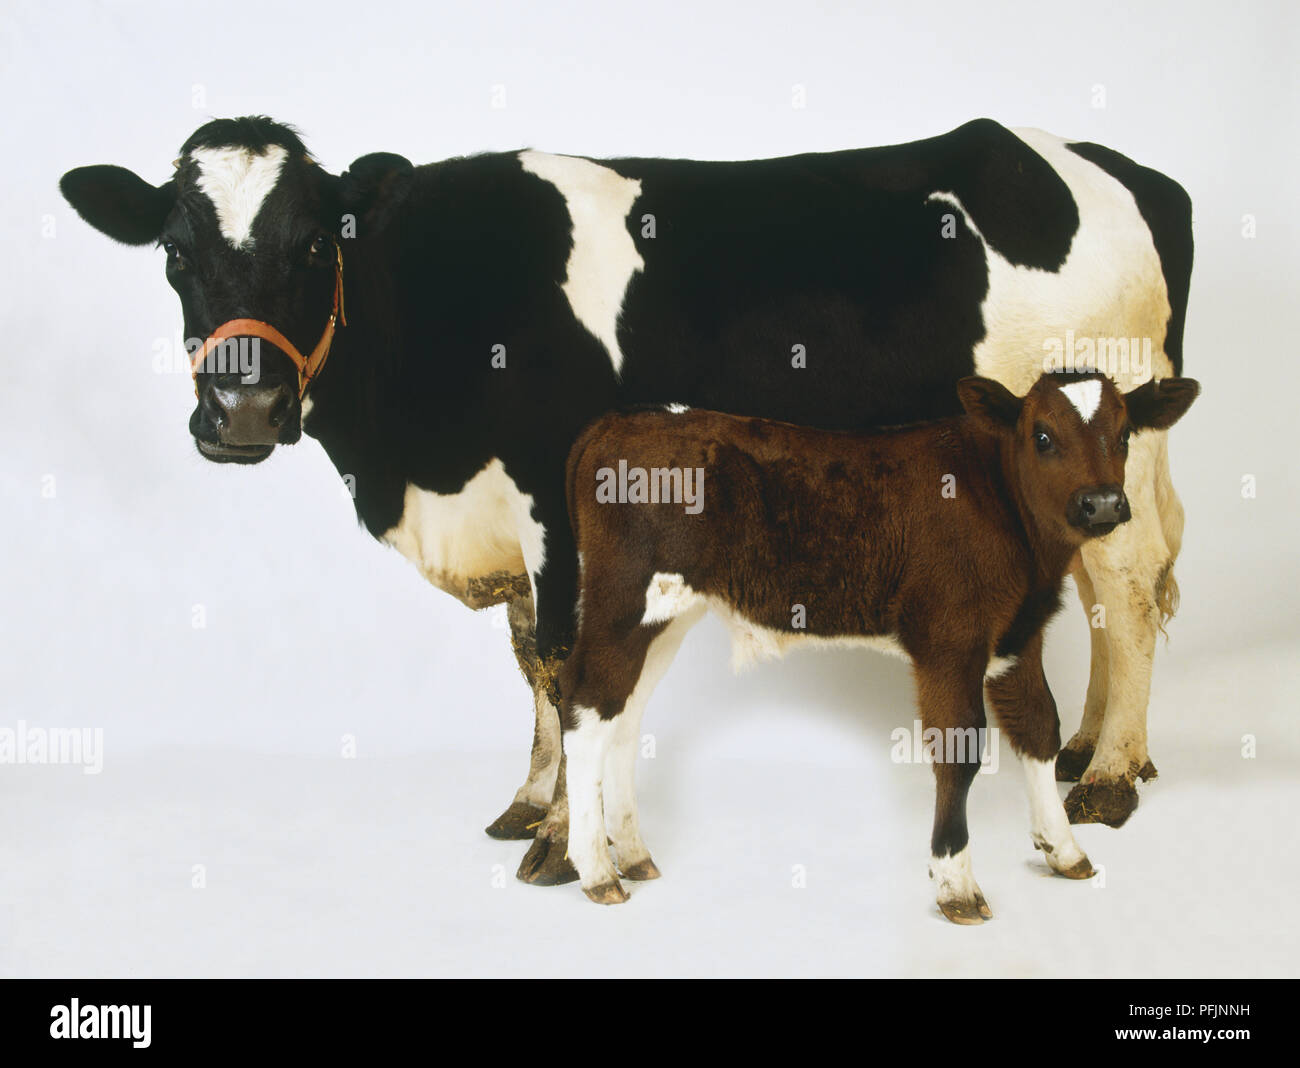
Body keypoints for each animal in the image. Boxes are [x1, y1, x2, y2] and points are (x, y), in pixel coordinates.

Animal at [558, 372, 1199, 919]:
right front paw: (956, 884)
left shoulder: (1020, 634)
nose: (1104, 503)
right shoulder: (948, 639)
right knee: (585, 707)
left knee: (625, 714)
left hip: (667, 616)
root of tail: (618, 421)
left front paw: (1063, 849)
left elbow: (1040, 727)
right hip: (623, 603)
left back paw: (633, 854)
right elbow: (960, 749)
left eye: (1124, 434)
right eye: (1042, 435)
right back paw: (597, 872)